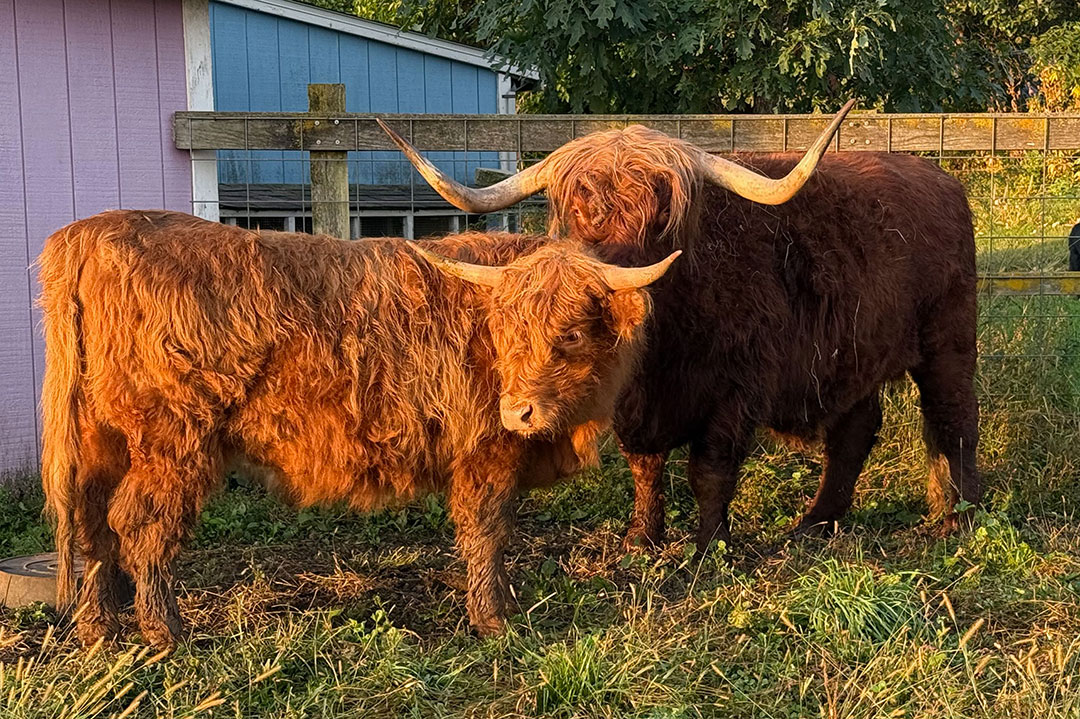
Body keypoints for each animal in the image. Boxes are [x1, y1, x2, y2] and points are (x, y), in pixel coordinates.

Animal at [39, 210, 679, 648]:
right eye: (508, 327)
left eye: (570, 332)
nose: (517, 412)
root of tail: (95, 230)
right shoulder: (485, 453)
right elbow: (488, 531)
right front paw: (495, 619)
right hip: (172, 438)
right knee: (139, 523)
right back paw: (167, 632)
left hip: (103, 439)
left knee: (92, 522)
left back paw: (99, 630)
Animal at [381, 103, 982, 552]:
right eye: (575, 212)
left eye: (660, 216)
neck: (663, 349)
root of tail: (940, 178)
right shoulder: (636, 404)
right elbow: (645, 466)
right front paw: (640, 539)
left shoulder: (736, 394)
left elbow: (709, 471)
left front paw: (709, 547)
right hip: (854, 355)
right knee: (855, 430)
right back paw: (818, 522)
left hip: (948, 341)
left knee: (952, 419)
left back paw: (959, 518)